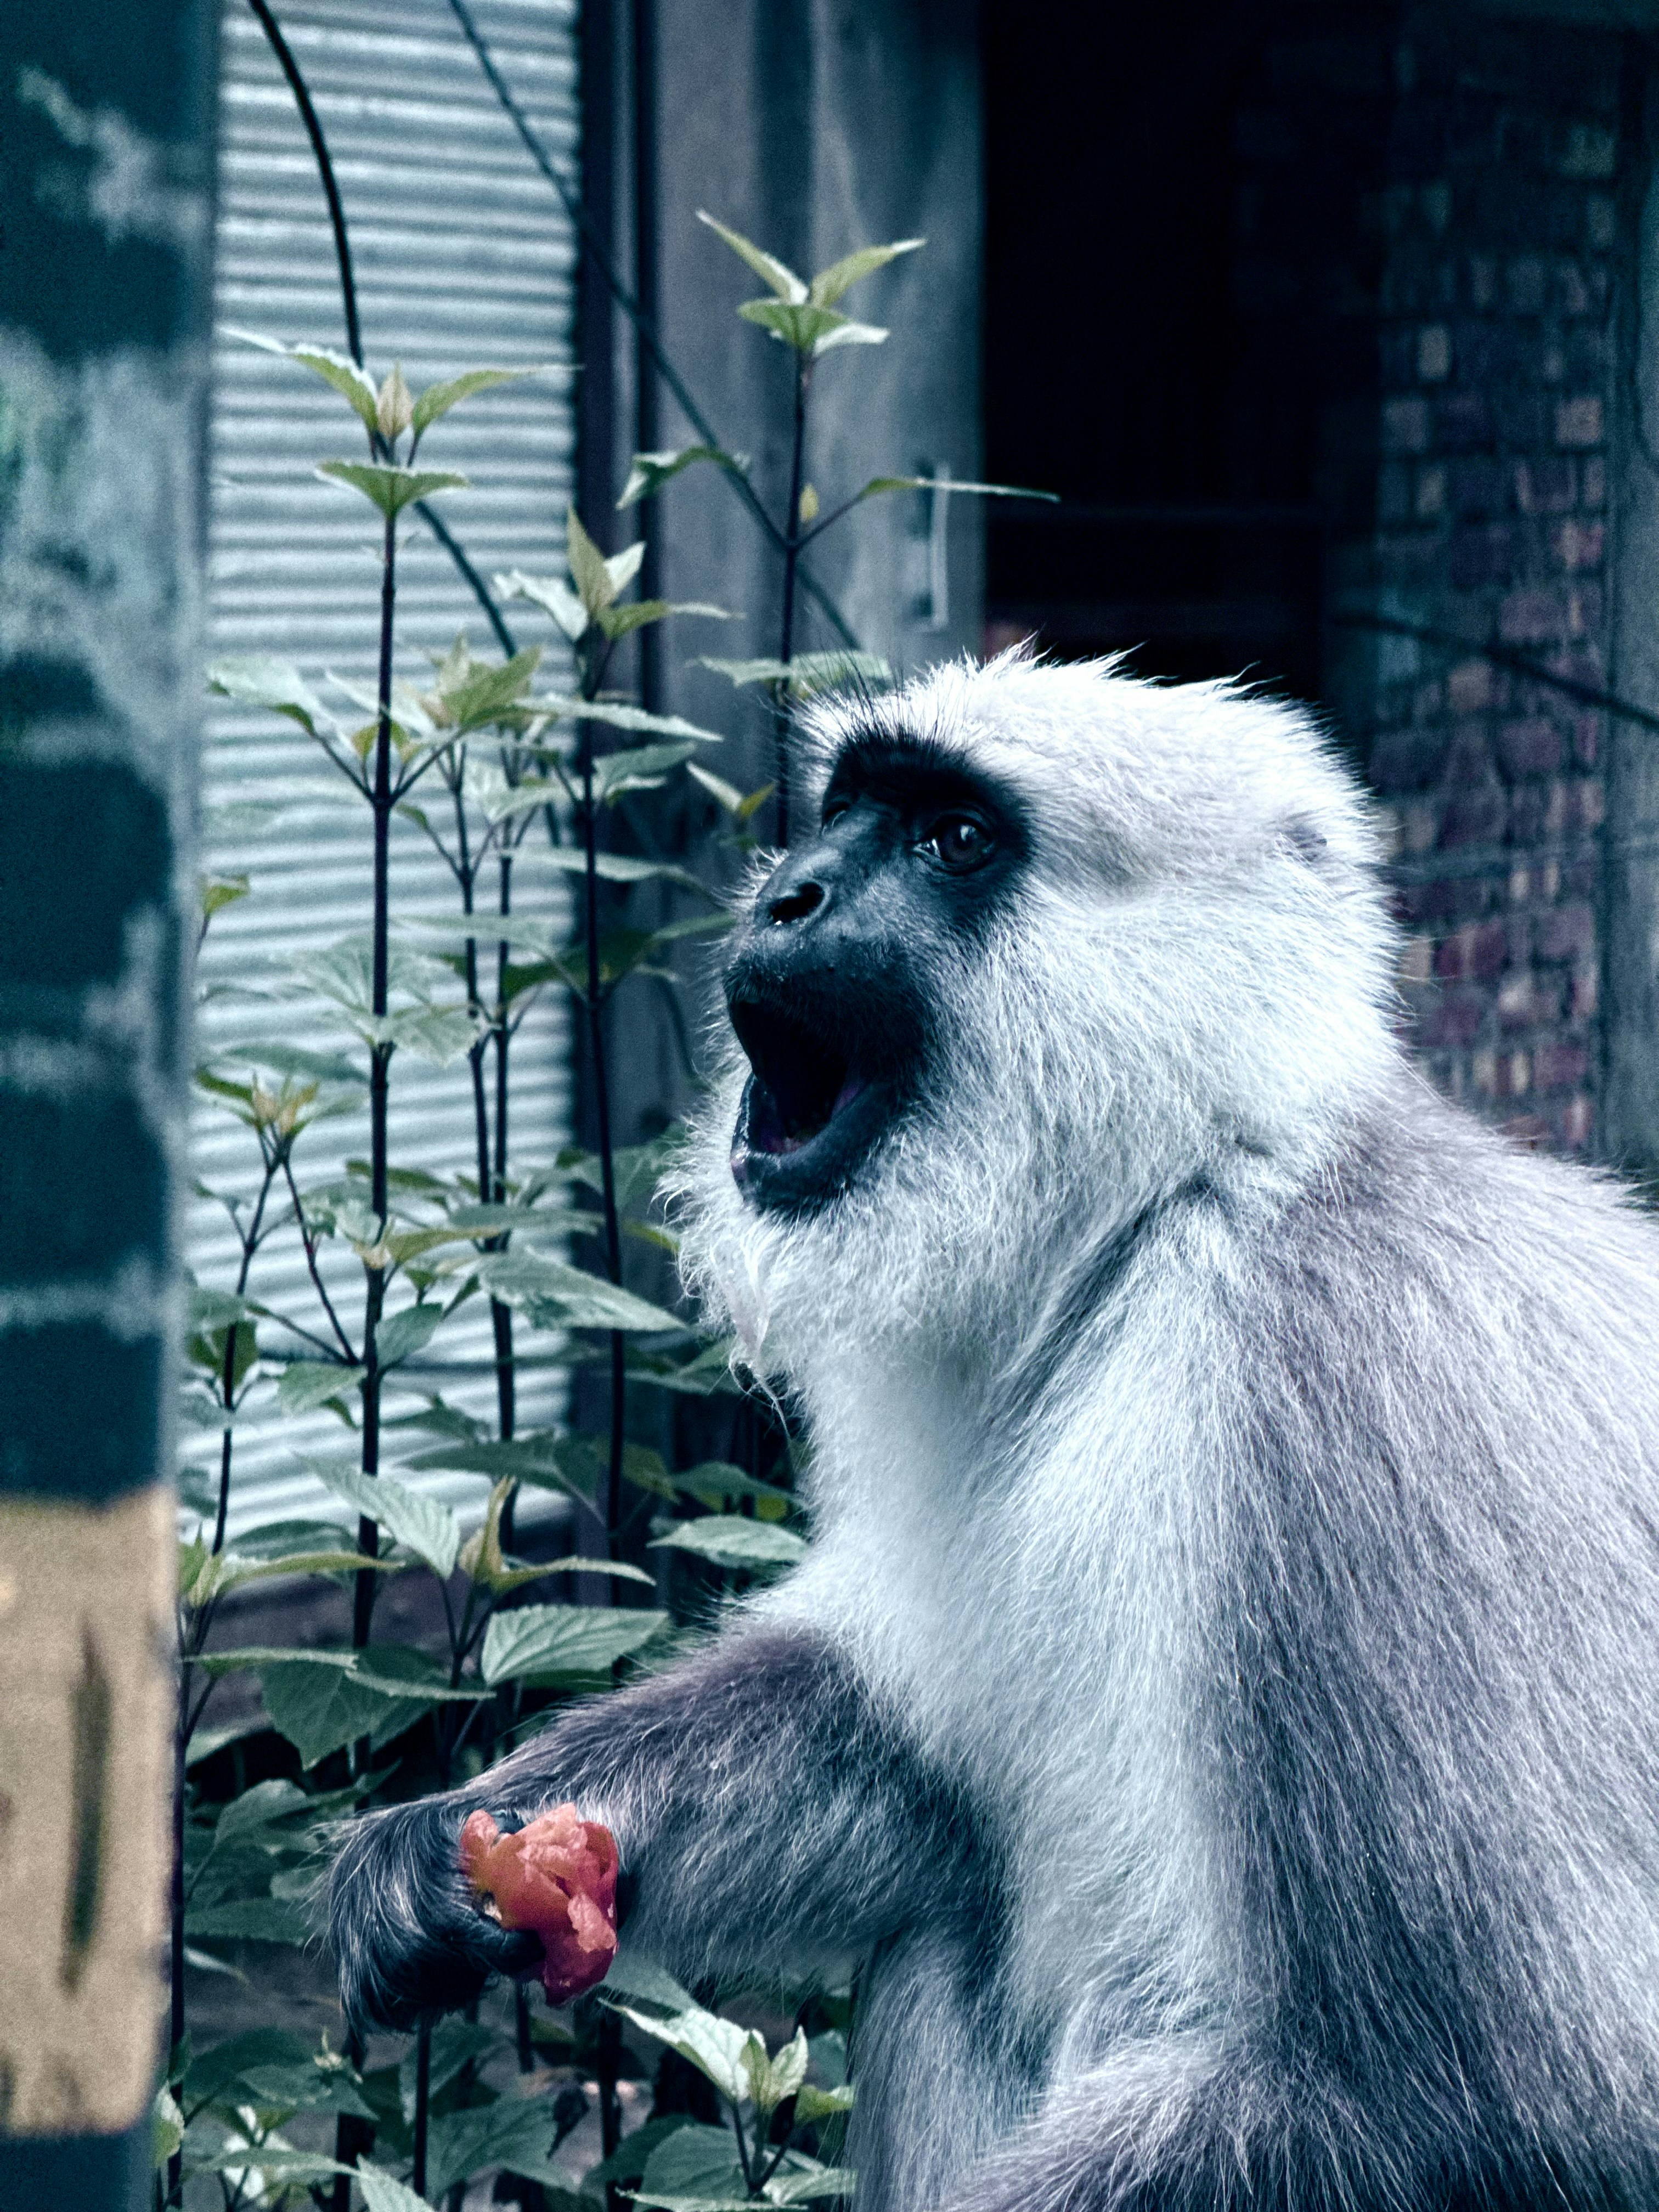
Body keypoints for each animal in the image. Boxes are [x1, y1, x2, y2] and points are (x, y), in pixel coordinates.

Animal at [331, 646, 1659, 2211]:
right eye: (849, 811)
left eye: (956, 841)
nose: (789, 893)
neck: (1163, 1224)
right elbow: (910, 1762)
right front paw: (446, 1855)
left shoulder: (1343, 1397)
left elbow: (1510, 2088)